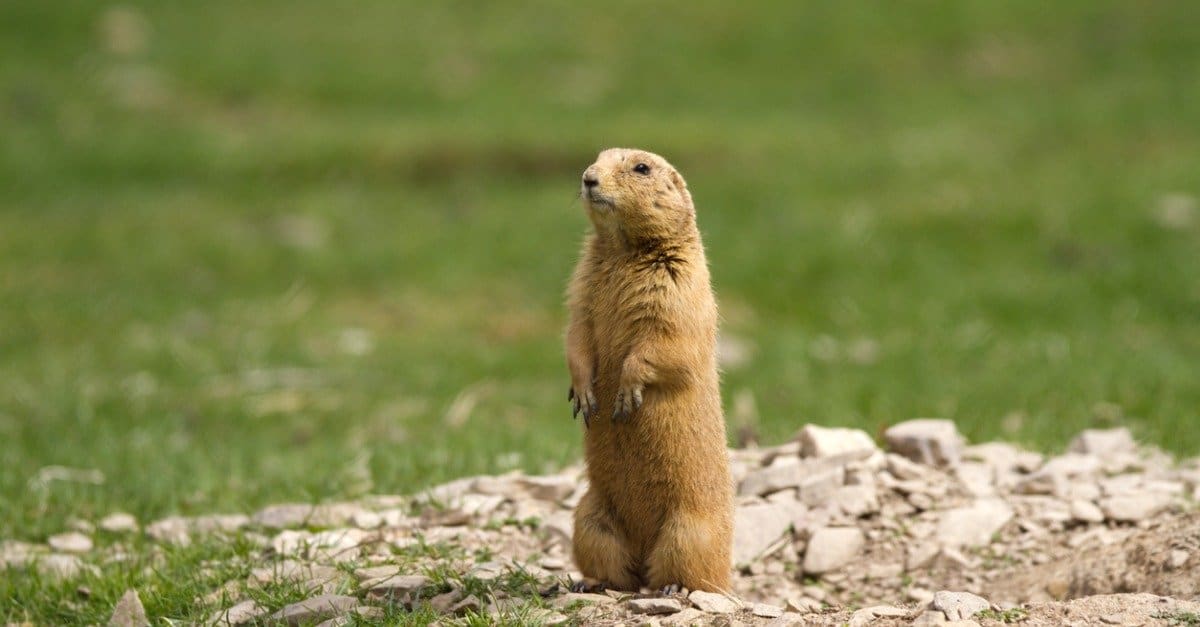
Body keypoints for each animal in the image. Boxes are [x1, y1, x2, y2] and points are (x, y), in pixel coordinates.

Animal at [565, 148, 733, 593]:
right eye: (598, 156)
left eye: (642, 168)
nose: (588, 177)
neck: (622, 249)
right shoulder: (582, 285)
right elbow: (577, 333)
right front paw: (584, 393)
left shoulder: (680, 287)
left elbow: (664, 342)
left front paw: (625, 392)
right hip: (589, 519)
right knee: (620, 572)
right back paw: (592, 582)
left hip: (691, 531)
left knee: (697, 576)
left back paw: (676, 587)